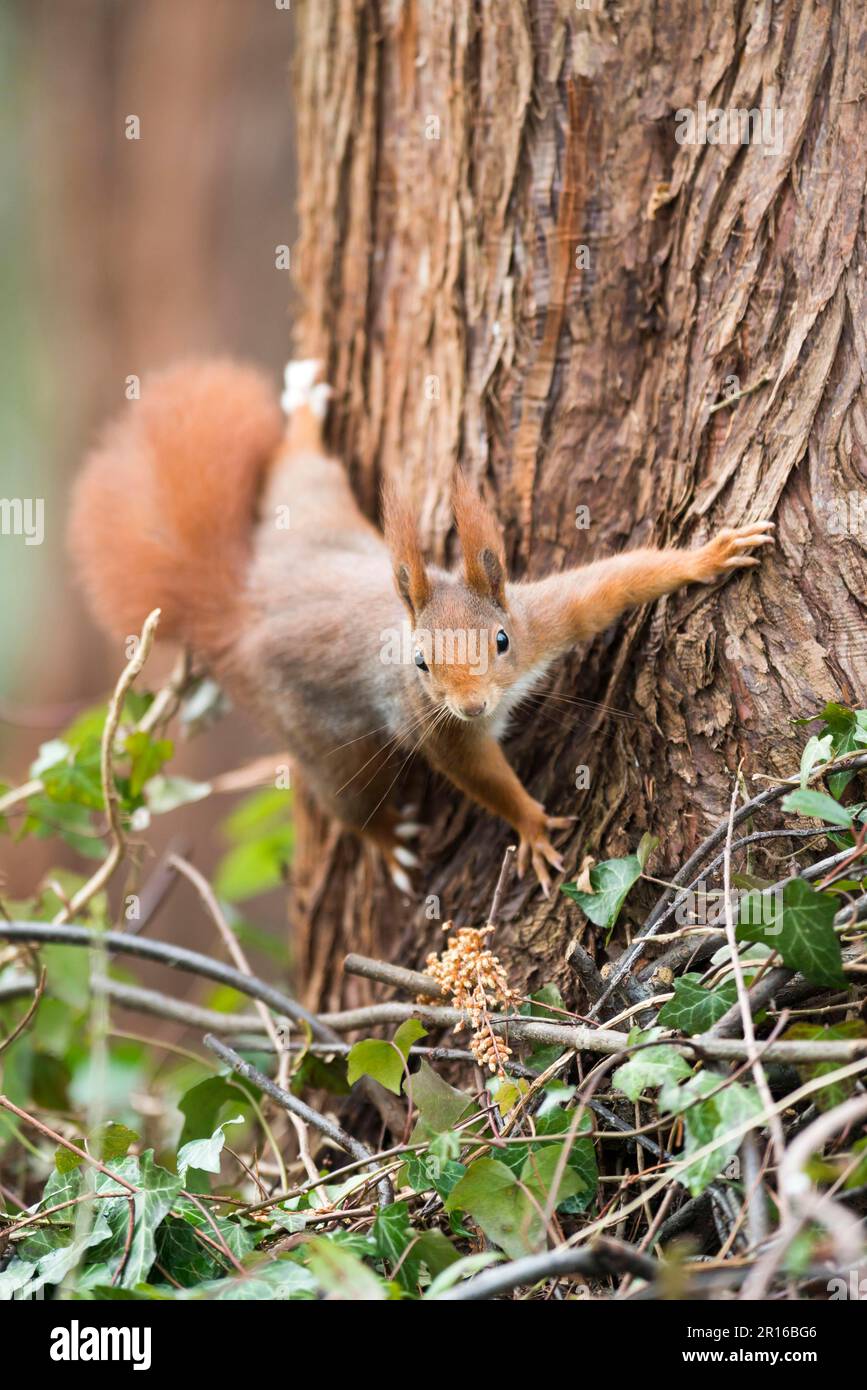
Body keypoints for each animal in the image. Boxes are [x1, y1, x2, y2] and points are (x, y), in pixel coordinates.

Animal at [69, 358, 774, 895]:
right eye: (420, 663)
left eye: (500, 641)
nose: (471, 704)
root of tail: (245, 614)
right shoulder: (437, 727)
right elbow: (483, 777)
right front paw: (532, 828)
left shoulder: (546, 617)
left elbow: (619, 580)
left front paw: (710, 556)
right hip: (322, 740)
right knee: (347, 801)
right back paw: (385, 841)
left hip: (312, 520)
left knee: (300, 471)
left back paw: (304, 408)